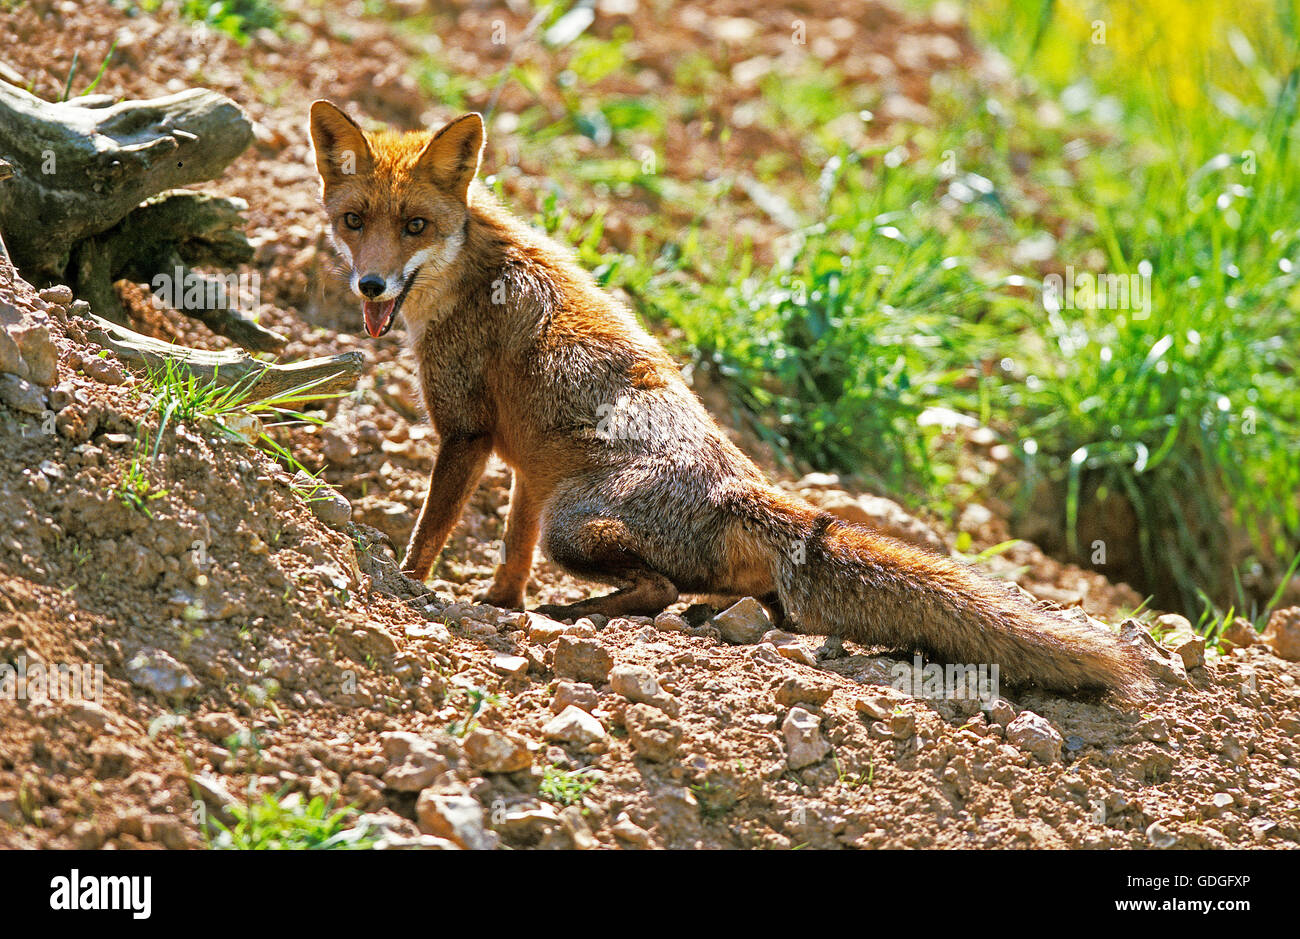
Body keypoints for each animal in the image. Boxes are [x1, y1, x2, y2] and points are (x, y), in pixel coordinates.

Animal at [308, 100, 1149, 697]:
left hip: (572, 527)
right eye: (354, 221)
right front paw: (498, 603)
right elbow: (508, 554)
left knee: (655, 587)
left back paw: (588, 614)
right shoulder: (524, 469)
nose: (371, 285)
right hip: (572, 514)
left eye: (415, 225)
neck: (471, 275)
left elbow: (430, 534)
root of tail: (744, 488)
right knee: (755, 602)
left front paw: (414, 585)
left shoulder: (468, 435)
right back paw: (711, 613)